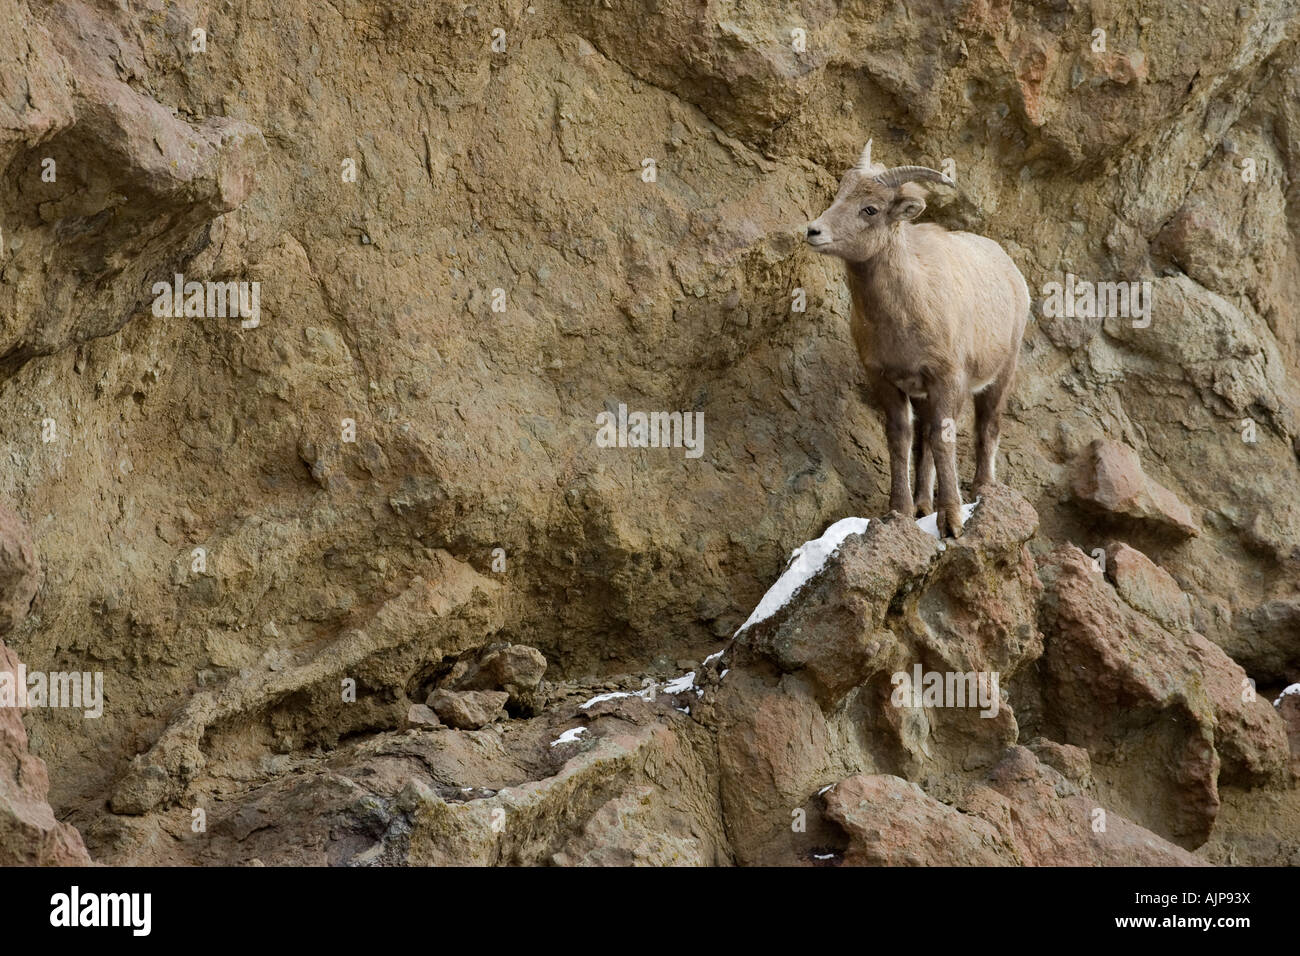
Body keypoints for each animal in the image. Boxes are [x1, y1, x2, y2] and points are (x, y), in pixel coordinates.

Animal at [805, 140, 1029, 537]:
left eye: (870, 209)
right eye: (840, 193)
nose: (814, 232)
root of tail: (1013, 273)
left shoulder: (948, 379)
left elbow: (944, 438)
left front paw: (951, 523)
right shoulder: (887, 381)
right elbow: (902, 439)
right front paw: (901, 511)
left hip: (1002, 373)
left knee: (987, 427)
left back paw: (983, 491)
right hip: (924, 395)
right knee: (923, 439)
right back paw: (924, 503)